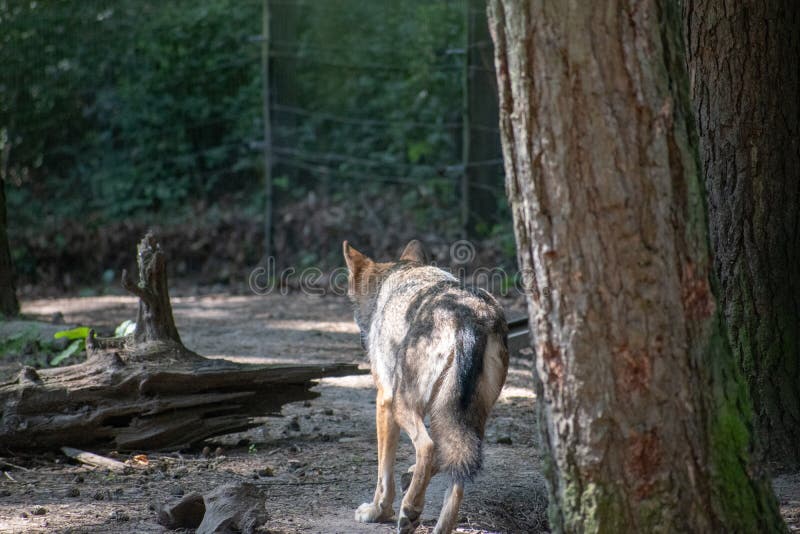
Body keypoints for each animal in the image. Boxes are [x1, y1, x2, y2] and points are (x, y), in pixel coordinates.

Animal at [343, 239, 509, 534]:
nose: (364, 341)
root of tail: (470, 317)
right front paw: (407, 479)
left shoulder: (384, 401)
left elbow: (383, 473)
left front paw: (377, 511)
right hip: (469, 417)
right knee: (459, 466)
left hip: (403, 405)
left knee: (429, 448)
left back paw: (410, 510)